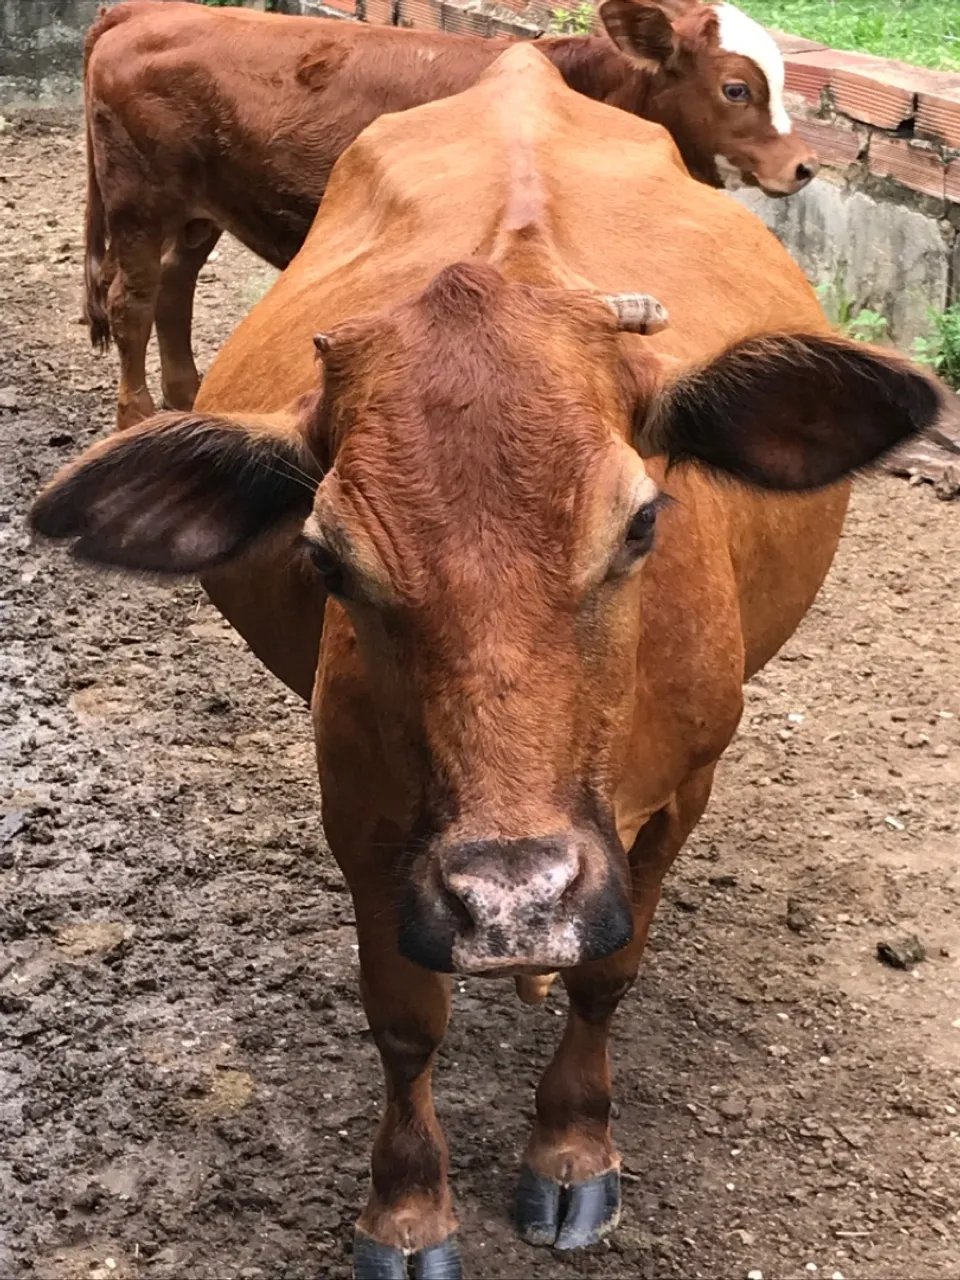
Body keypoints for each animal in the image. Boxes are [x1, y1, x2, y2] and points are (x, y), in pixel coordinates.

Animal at [34, 44, 938, 1280]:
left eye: (642, 523)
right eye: (326, 554)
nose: (516, 900)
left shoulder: (682, 792)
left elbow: (609, 977)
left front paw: (572, 1147)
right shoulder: (368, 821)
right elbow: (406, 1025)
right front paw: (408, 1209)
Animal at [83, 0, 819, 429]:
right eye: (736, 88)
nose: (804, 166)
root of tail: (143, 10)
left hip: (199, 210)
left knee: (174, 287)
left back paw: (186, 397)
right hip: (138, 201)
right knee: (131, 302)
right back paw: (134, 417)